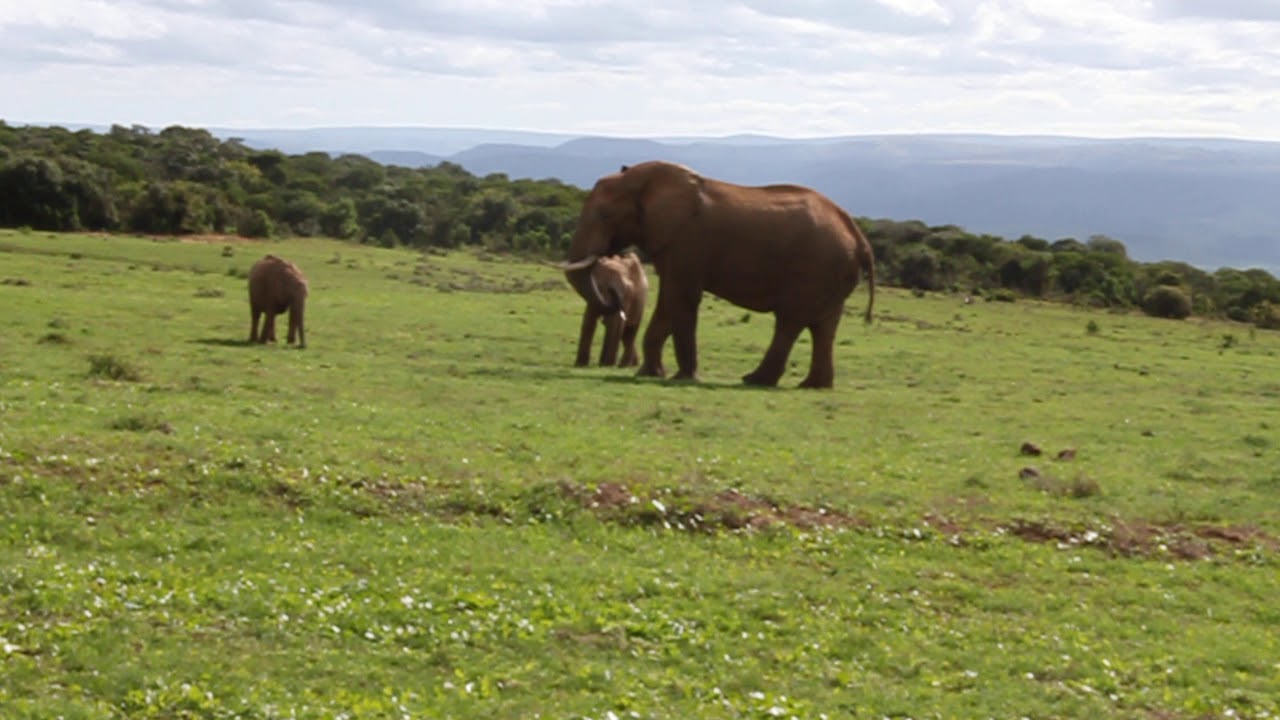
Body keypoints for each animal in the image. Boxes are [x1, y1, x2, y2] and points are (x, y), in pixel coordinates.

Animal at [555, 161, 874, 389]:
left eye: (606, 215)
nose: (613, 299)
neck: (648, 179)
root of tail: (859, 238)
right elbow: (669, 301)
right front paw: (650, 374)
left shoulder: (688, 242)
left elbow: (680, 297)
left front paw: (680, 378)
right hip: (831, 274)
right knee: (823, 326)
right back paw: (812, 386)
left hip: (814, 269)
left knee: (790, 321)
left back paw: (755, 380)